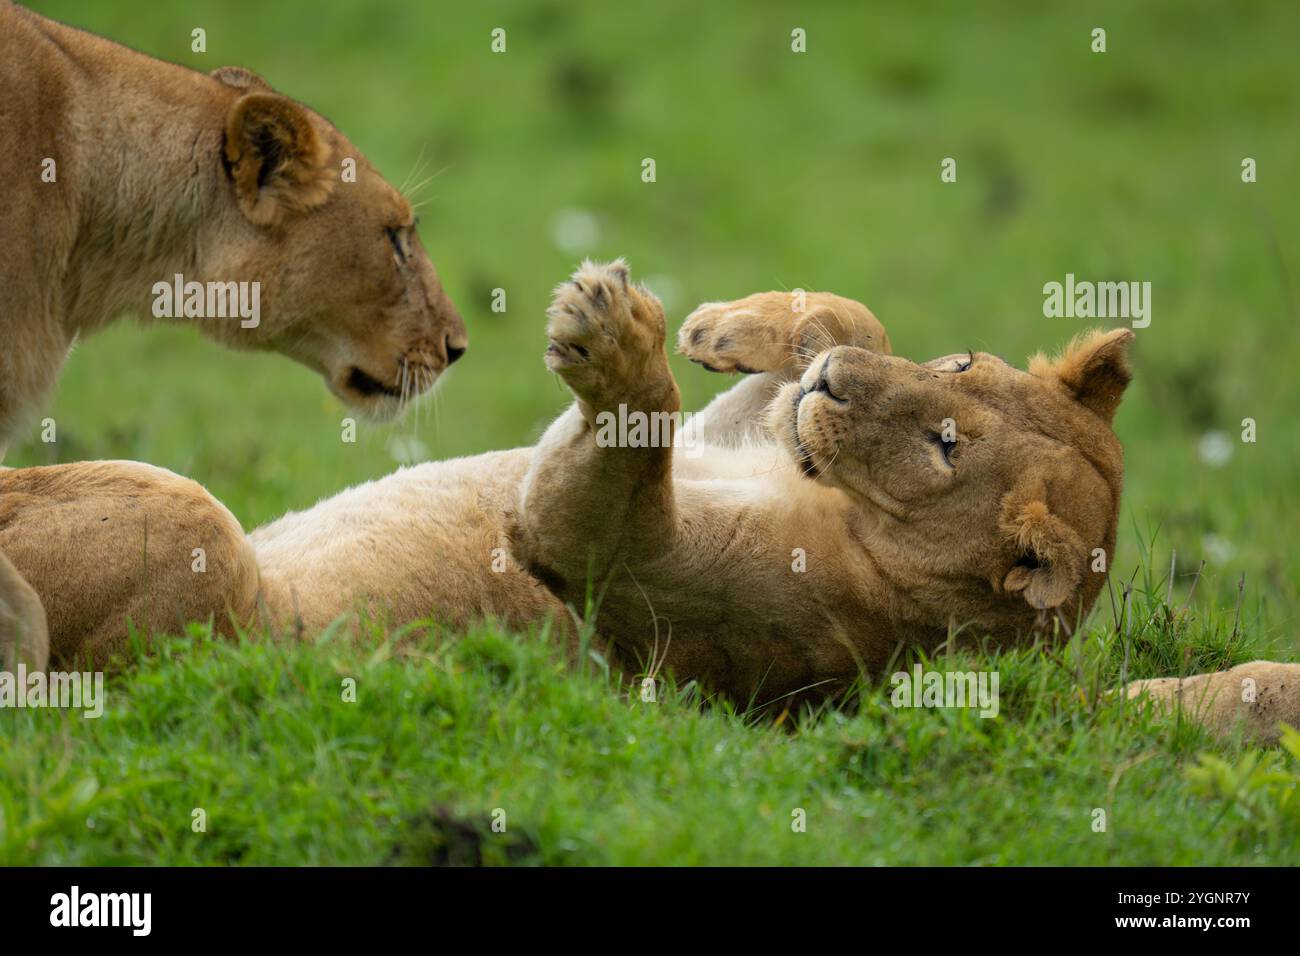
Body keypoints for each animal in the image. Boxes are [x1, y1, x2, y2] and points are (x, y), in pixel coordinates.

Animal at [2, 262, 1296, 743]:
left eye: (944, 448)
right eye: (963, 368)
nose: (832, 387)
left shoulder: (643, 588)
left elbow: (614, 478)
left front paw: (617, 333)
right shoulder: (751, 433)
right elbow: (843, 325)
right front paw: (732, 325)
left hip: (188, 536)